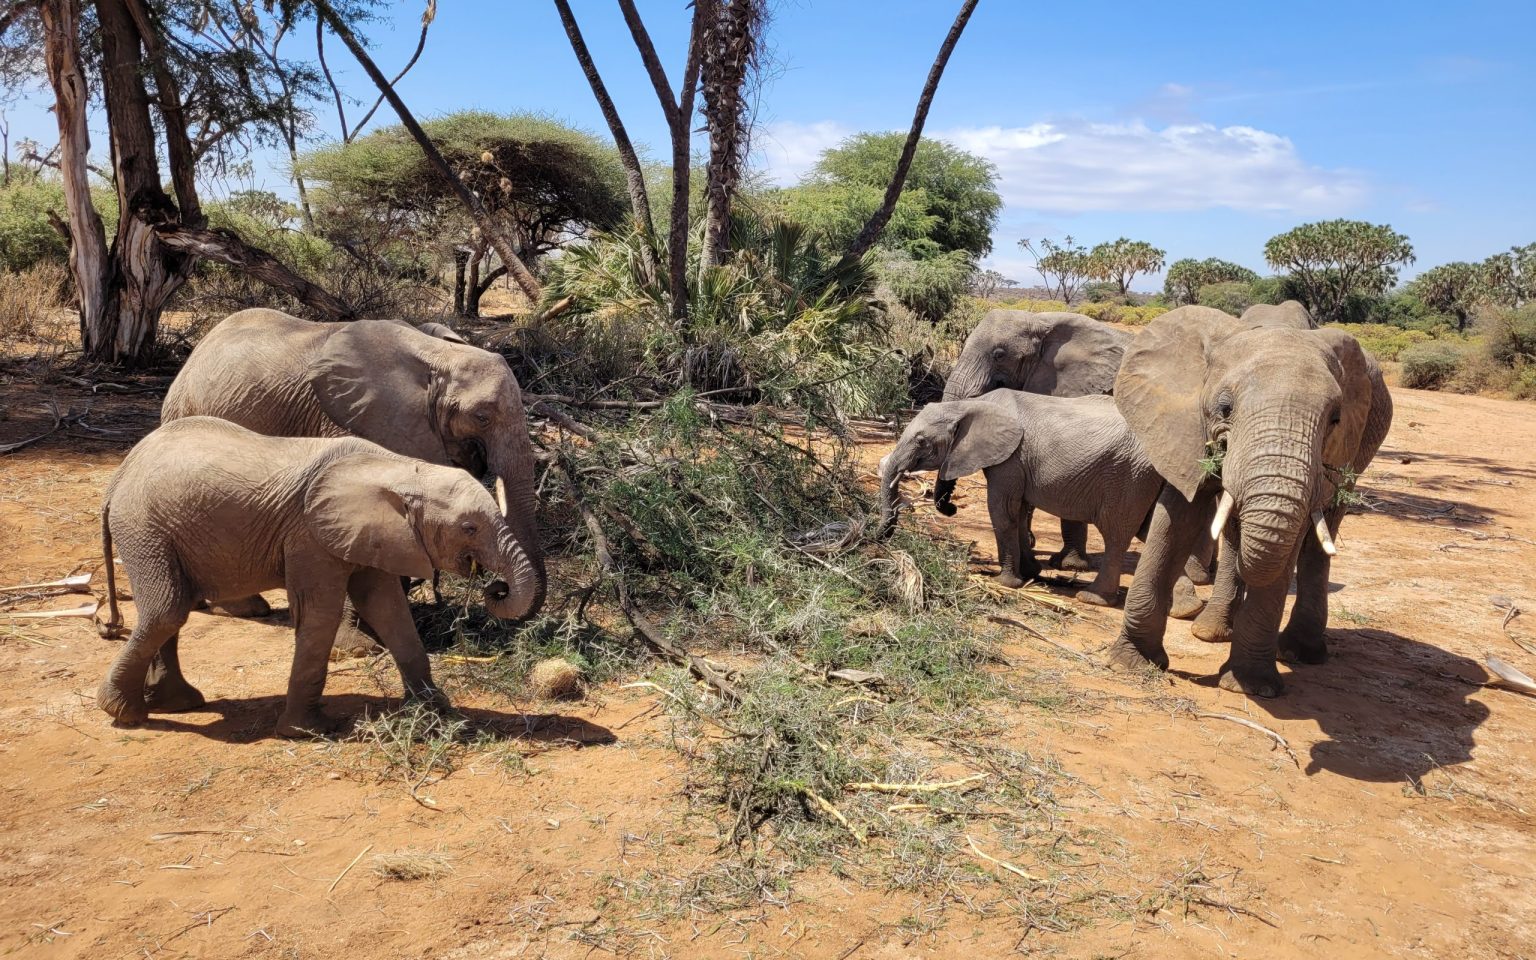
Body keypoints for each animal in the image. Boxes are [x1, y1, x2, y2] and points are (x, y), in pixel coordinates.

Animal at [95, 417, 541, 737]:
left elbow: (388, 610)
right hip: (145, 528)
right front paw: (310, 731)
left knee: (173, 610)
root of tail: (119, 477)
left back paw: (177, 704)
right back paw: (126, 714)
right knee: (167, 610)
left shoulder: (372, 536)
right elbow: (321, 614)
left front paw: (439, 711)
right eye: (469, 528)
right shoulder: (309, 536)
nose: (495, 586)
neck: (399, 471)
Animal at [162, 308, 545, 623]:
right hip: (184, 410)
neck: (435, 355)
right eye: (481, 417)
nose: (495, 589)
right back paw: (246, 609)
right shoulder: (345, 419)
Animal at [879, 391, 1162, 606]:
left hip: (1129, 477)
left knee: (1116, 533)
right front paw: (1030, 573)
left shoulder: (1010, 459)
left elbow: (1003, 510)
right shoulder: (1018, 463)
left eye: (921, 441)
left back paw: (1093, 598)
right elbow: (1021, 511)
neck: (971, 404)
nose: (952, 507)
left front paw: (1005, 583)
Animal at [1106, 306, 1393, 697]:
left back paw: (1299, 652)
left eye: (1335, 418)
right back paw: (1210, 633)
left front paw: (1250, 687)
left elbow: (1290, 541)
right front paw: (1130, 662)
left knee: (1320, 538)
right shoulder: (1182, 427)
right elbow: (1176, 519)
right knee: (1232, 534)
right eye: (1225, 408)